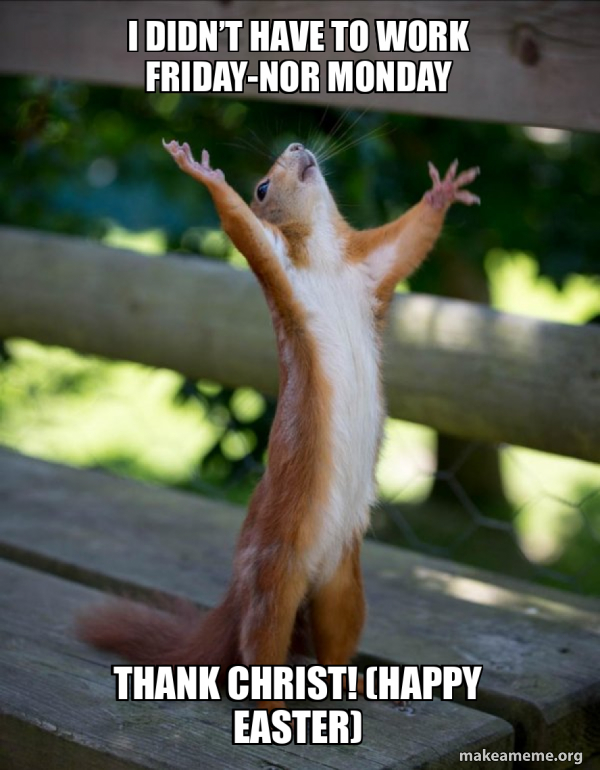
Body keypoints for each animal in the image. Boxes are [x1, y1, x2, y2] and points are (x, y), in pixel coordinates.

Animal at [77, 138, 479, 712]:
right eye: (262, 187)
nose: (296, 146)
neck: (327, 259)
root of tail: (240, 590)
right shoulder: (277, 265)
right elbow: (240, 226)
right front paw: (204, 173)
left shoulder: (372, 267)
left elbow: (410, 240)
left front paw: (443, 191)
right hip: (274, 579)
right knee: (260, 648)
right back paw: (275, 707)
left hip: (343, 587)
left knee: (335, 641)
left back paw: (353, 681)